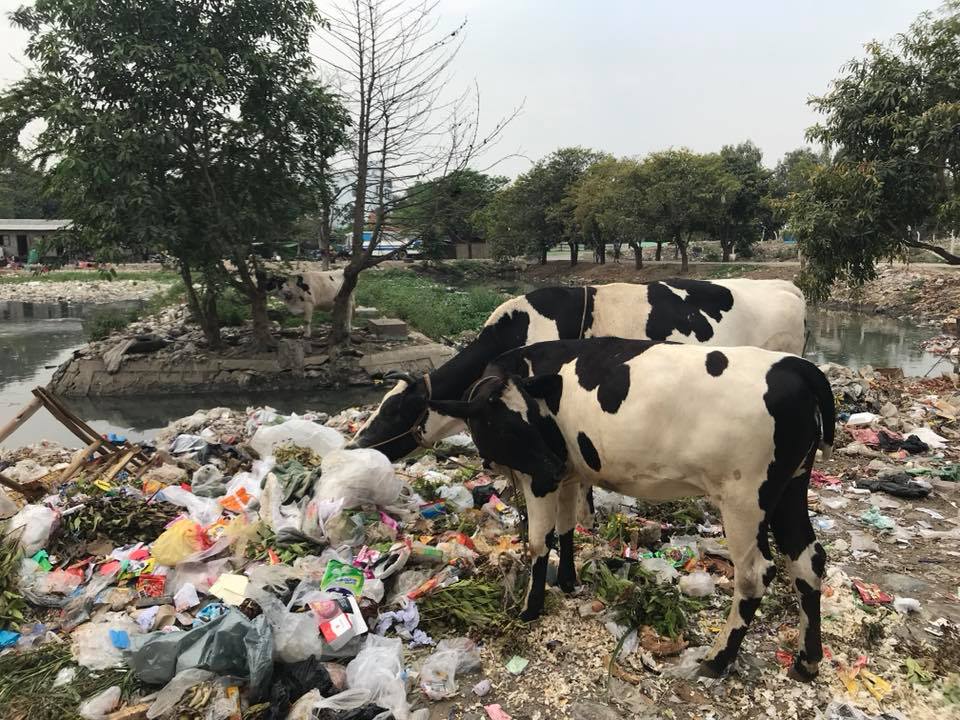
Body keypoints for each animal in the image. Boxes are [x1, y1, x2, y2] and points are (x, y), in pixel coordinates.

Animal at [427, 337, 835, 681]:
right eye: (507, 426)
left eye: (530, 421)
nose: (551, 464)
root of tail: (797, 365)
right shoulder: (570, 470)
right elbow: (566, 527)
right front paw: (569, 582)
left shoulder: (539, 478)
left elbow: (540, 540)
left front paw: (530, 608)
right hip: (791, 485)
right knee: (807, 560)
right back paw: (806, 660)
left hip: (745, 498)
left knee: (754, 573)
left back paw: (718, 660)